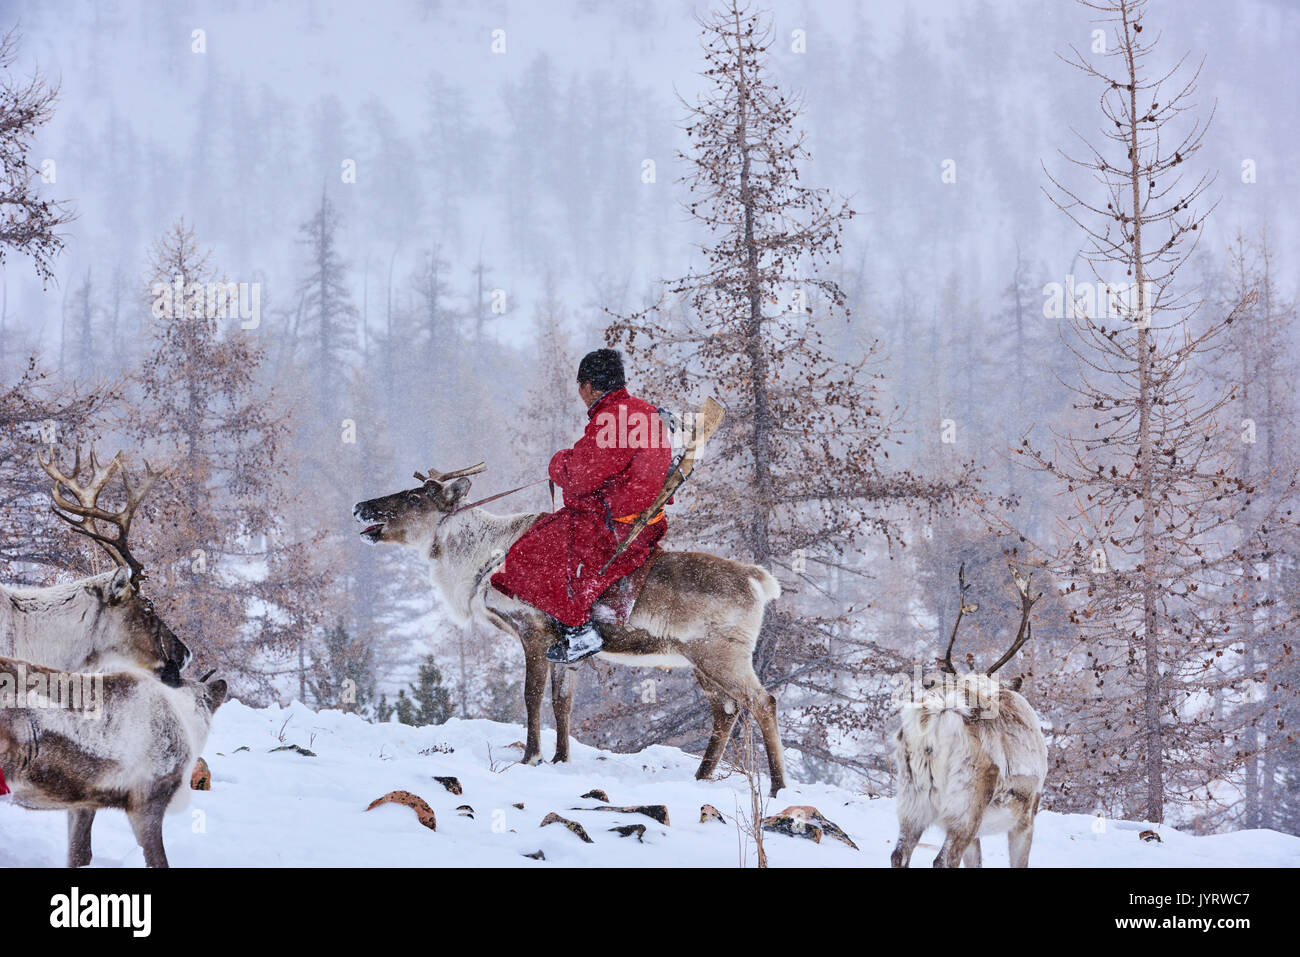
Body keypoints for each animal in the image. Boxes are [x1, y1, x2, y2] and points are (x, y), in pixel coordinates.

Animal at [353, 463, 788, 795]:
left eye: (415, 498)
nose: (361, 506)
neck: (481, 560)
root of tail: (758, 580)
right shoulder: (566, 650)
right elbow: (562, 702)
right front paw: (560, 759)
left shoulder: (534, 632)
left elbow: (532, 697)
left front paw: (531, 756)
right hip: (701, 661)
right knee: (727, 710)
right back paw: (702, 776)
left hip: (722, 655)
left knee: (763, 701)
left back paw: (777, 786)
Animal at [890, 564, 1049, 868]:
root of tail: (937, 718)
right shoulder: (1027, 816)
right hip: (968, 802)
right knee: (943, 860)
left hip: (911, 798)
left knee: (899, 853)